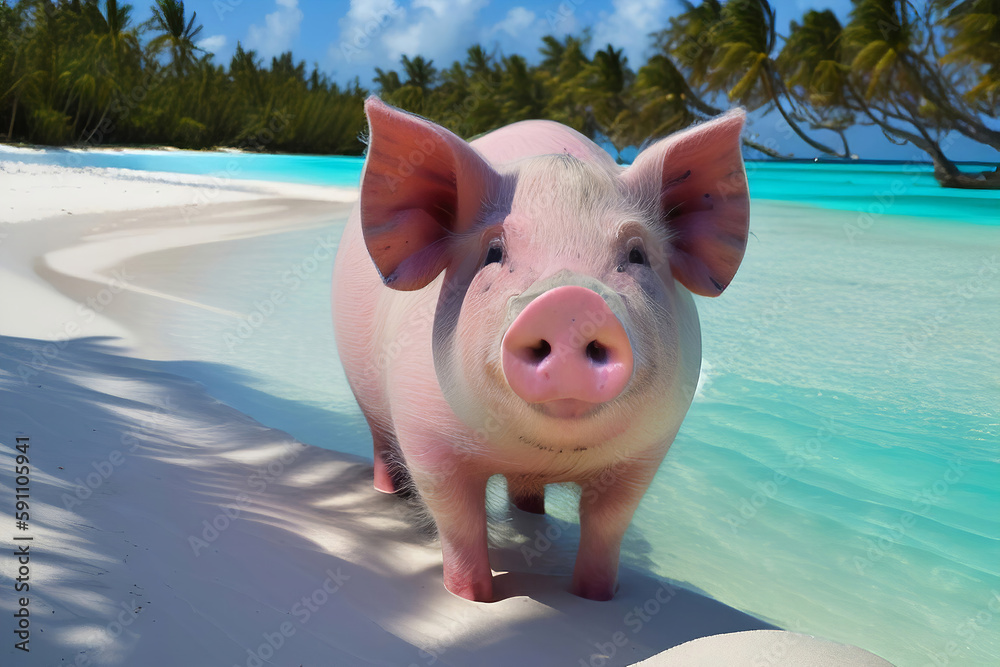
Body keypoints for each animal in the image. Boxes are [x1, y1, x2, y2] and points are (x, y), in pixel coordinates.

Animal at [333, 97, 749, 602]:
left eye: (636, 255)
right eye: (493, 252)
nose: (569, 302)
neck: (544, 454)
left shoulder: (645, 451)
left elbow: (608, 523)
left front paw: (595, 598)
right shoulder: (426, 434)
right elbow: (456, 518)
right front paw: (473, 598)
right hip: (368, 400)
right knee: (380, 444)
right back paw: (388, 494)